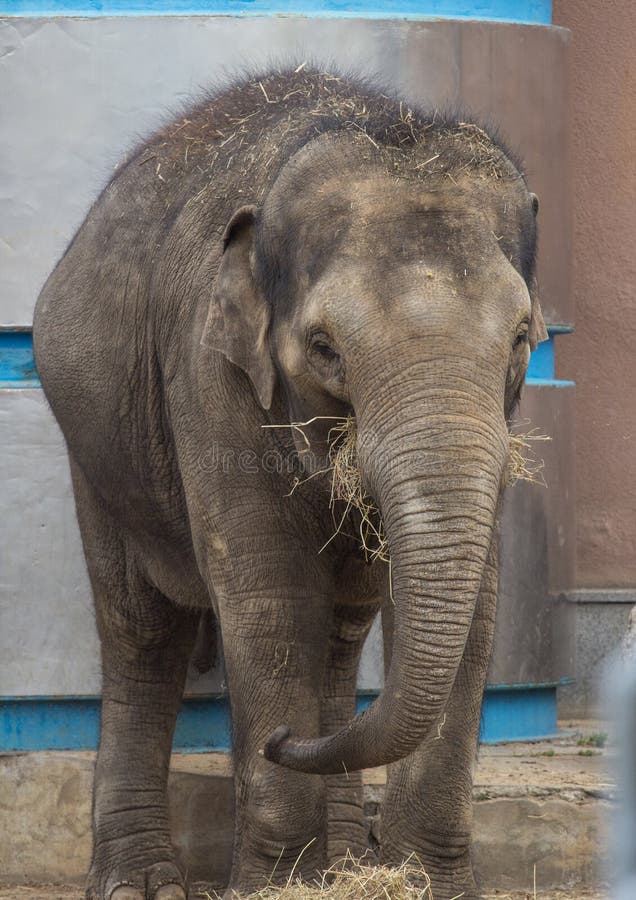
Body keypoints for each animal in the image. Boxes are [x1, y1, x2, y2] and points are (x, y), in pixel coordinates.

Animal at [33, 69, 547, 900]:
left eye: (522, 341)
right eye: (324, 347)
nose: (275, 740)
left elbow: (478, 603)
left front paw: (421, 881)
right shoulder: (206, 374)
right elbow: (267, 591)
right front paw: (276, 885)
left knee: (338, 630)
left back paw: (343, 863)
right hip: (96, 445)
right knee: (140, 629)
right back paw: (141, 883)